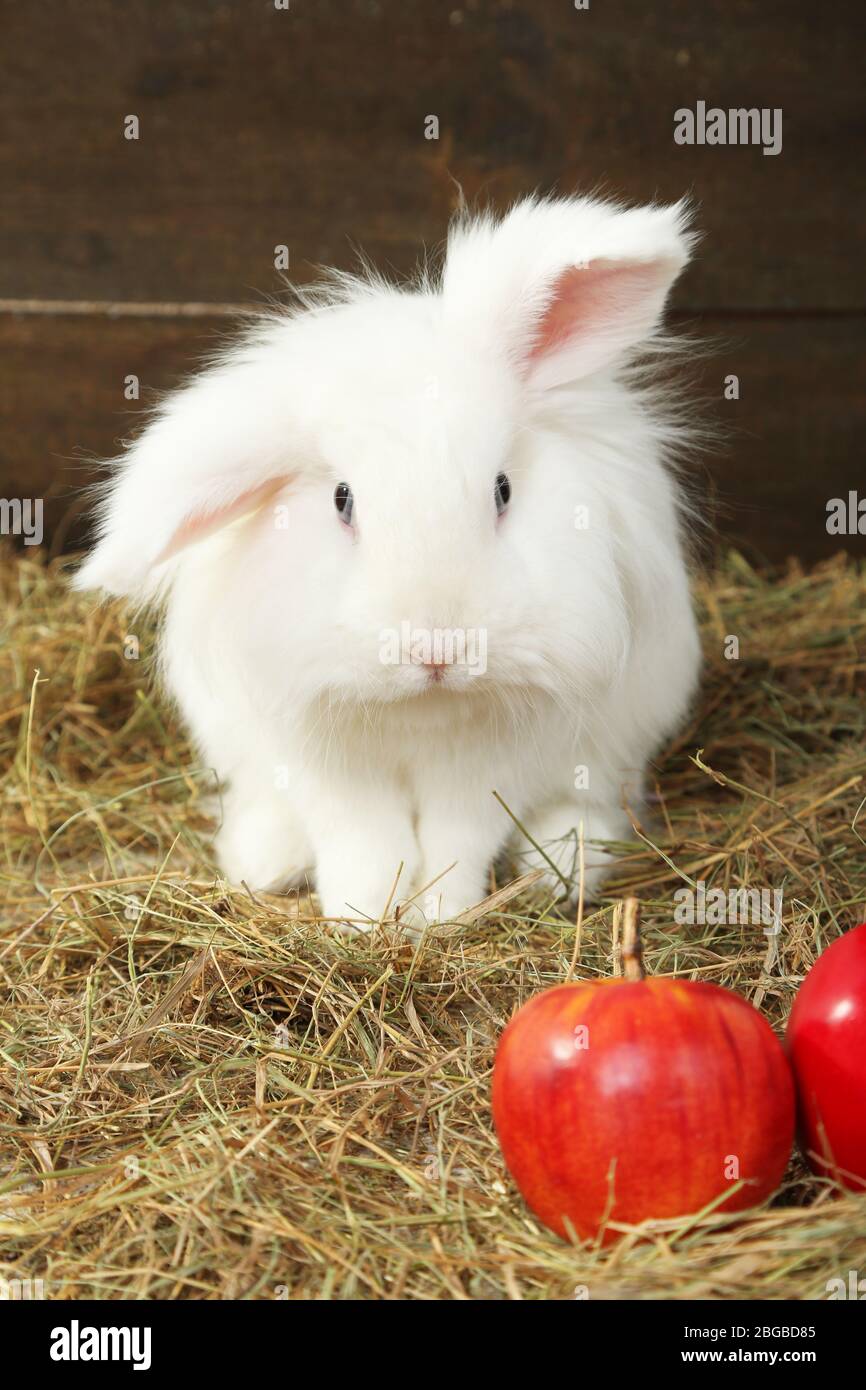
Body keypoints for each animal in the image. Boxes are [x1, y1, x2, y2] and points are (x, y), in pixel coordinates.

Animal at [74, 194, 702, 926]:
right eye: (342, 499)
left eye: (502, 490)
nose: (436, 650)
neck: (422, 713)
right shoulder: (321, 758)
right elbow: (363, 839)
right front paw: (362, 915)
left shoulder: (496, 763)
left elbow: (460, 838)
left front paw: (439, 914)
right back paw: (266, 859)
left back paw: (566, 863)